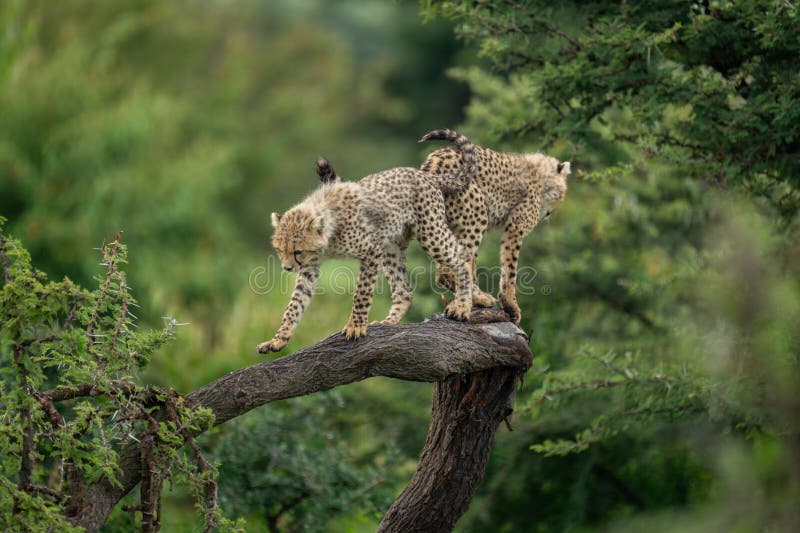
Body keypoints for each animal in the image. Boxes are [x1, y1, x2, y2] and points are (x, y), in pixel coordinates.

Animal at [256, 130, 478, 354]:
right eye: (280, 250)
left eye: (297, 251)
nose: (287, 268)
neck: (329, 237)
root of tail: (423, 173)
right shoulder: (311, 266)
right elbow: (295, 304)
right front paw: (279, 339)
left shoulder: (371, 251)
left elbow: (361, 293)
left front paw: (355, 326)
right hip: (391, 247)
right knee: (404, 290)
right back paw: (389, 322)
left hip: (430, 234)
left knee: (462, 257)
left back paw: (463, 304)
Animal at [419, 129, 571, 324]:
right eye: (561, 195)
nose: (549, 213)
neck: (541, 174)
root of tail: (431, 164)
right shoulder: (516, 227)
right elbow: (510, 269)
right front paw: (511, 306)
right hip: (476, 217)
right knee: (455, 267)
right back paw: (463, 307)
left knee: (445, 271)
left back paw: (474, 299)